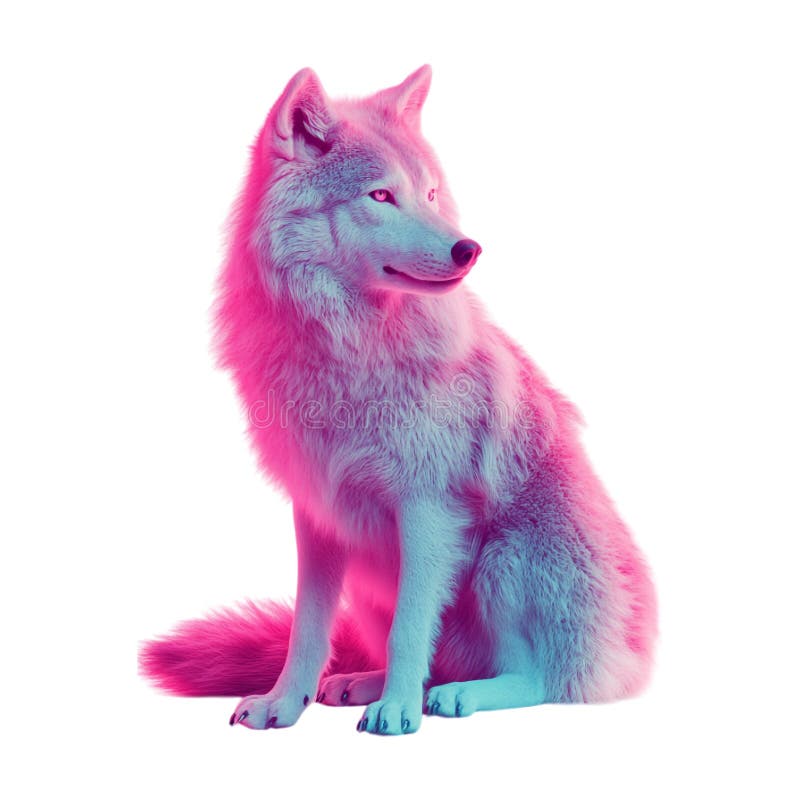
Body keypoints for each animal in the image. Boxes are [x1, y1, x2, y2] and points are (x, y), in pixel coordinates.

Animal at [139, 66, 657, 735]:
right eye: (381, 196)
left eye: (431, 194)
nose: (469, 248)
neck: (351, 351)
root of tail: (633, 646)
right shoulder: (318, 516)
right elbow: (308, 629)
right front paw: (285, 703)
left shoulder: (429, 511)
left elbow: (412, 628)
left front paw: (399, 713)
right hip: (372, 583)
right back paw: (363, 682)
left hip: (503, 558)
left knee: (545, 678)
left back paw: (452, 696)